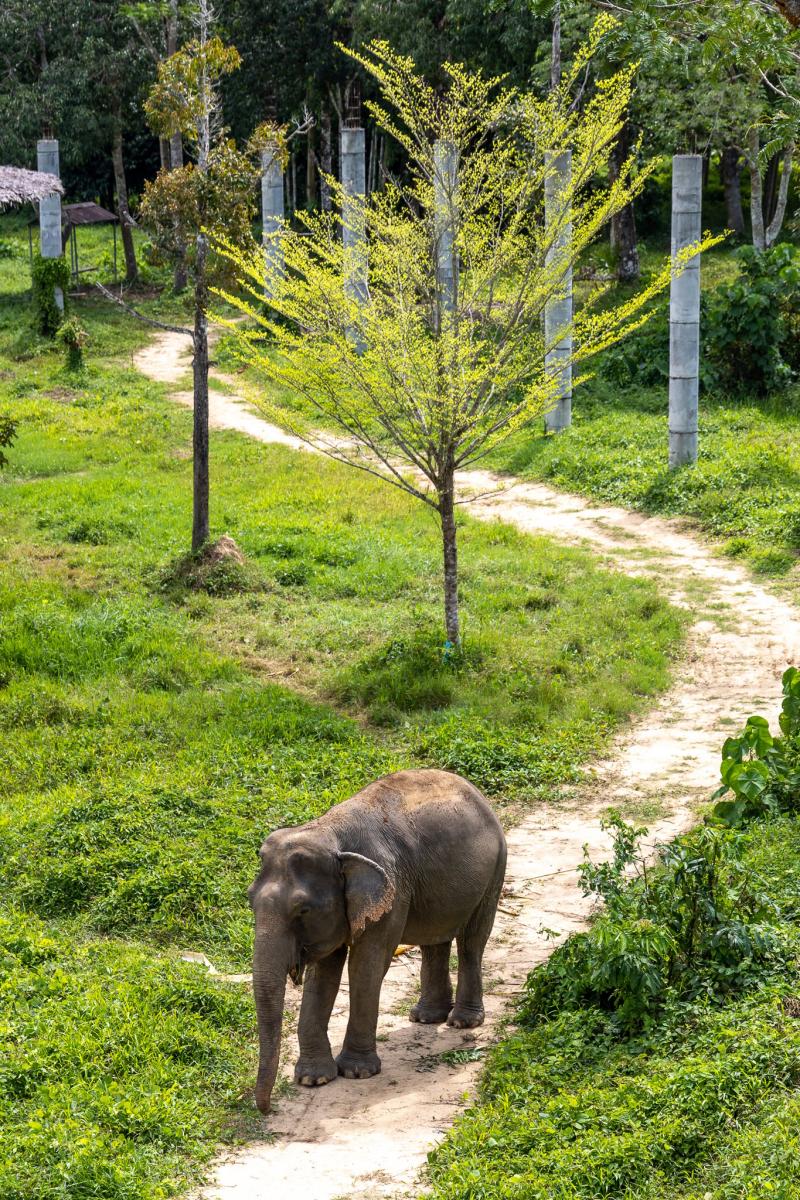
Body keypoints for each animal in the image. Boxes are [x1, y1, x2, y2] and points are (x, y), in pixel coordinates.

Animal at [248, 767, 507, 1114]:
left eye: (302, 909)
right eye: (249, 900)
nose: (266, 1109)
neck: (328, 832)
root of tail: (477, 793)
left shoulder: (391, 889)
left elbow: (365, 966)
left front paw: (357, 1073)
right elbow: (324, 974)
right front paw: (313, 1079)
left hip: (495, 868)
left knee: (471, 940)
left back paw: (462, 1022)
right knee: (434, 940)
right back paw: (426, 1017)